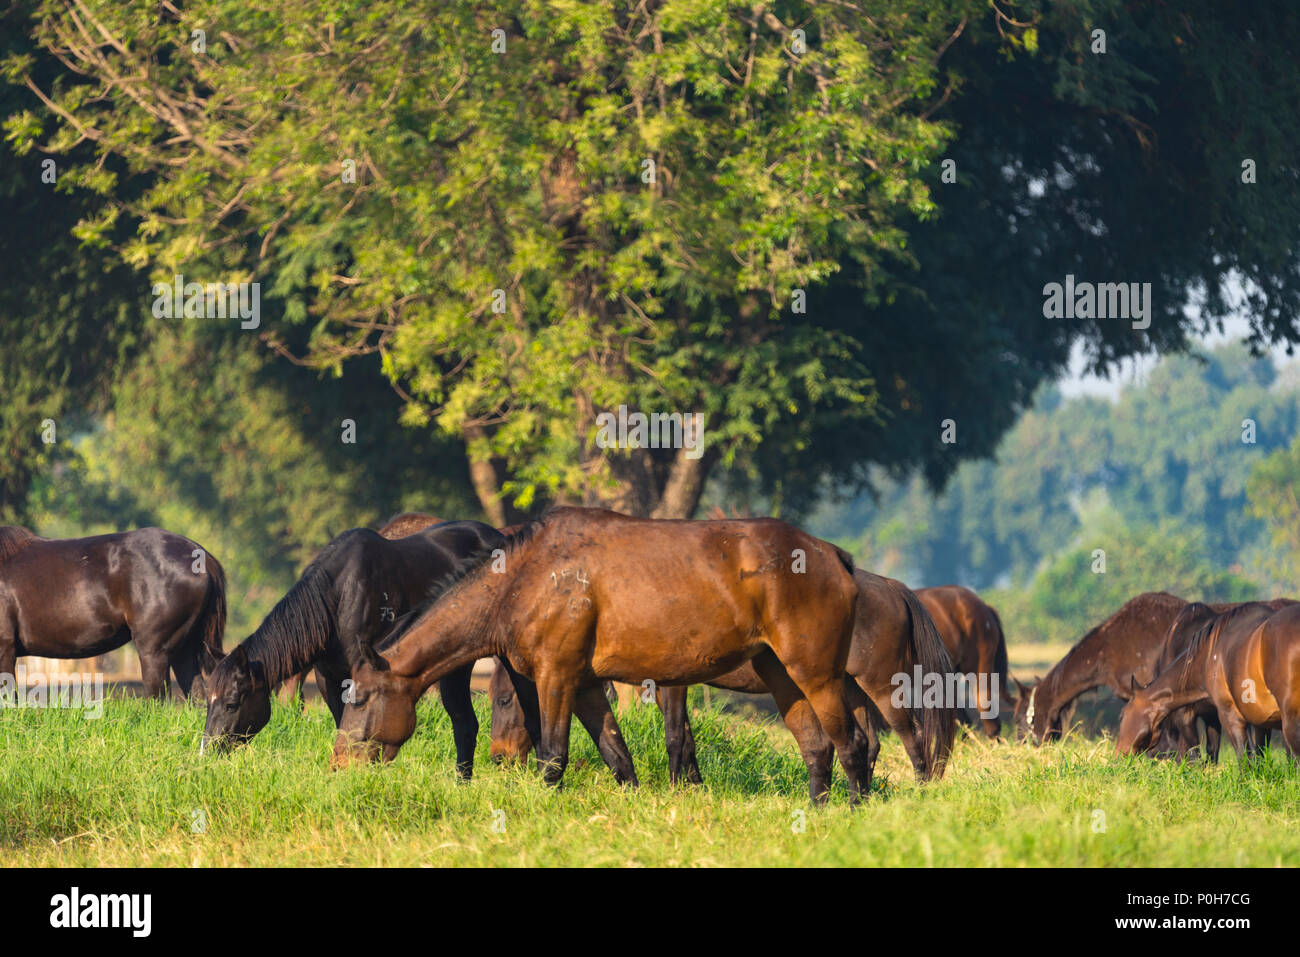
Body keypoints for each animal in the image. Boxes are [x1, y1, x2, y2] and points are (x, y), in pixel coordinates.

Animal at [201, 519, 530, 779]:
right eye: (208, 701)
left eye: (231, 703)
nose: (207, 751)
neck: (338, 595)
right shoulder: (328, 678)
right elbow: (345, 724)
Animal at [332, 507, 874, 804]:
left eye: (360, 701)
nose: (337, 768)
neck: (527, 577)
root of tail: (832, 555)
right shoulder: (588, 686)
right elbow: (619, 758)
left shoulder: (555, 678)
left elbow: (553, 756)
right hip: (782, 677)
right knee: (816, 748)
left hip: (817, 676)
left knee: (853, 745)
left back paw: (853, 813)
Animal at [488, 569, 958, 786]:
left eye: (503, 700)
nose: (497, 757)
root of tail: (892, 587)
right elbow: (686, 736)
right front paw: (693, 783)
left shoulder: (673, 684)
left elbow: (675, 736)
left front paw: (678, 786)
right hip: (848, 687)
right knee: (870, 742)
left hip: (882, 686)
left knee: (914, 737)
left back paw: (922, 789)